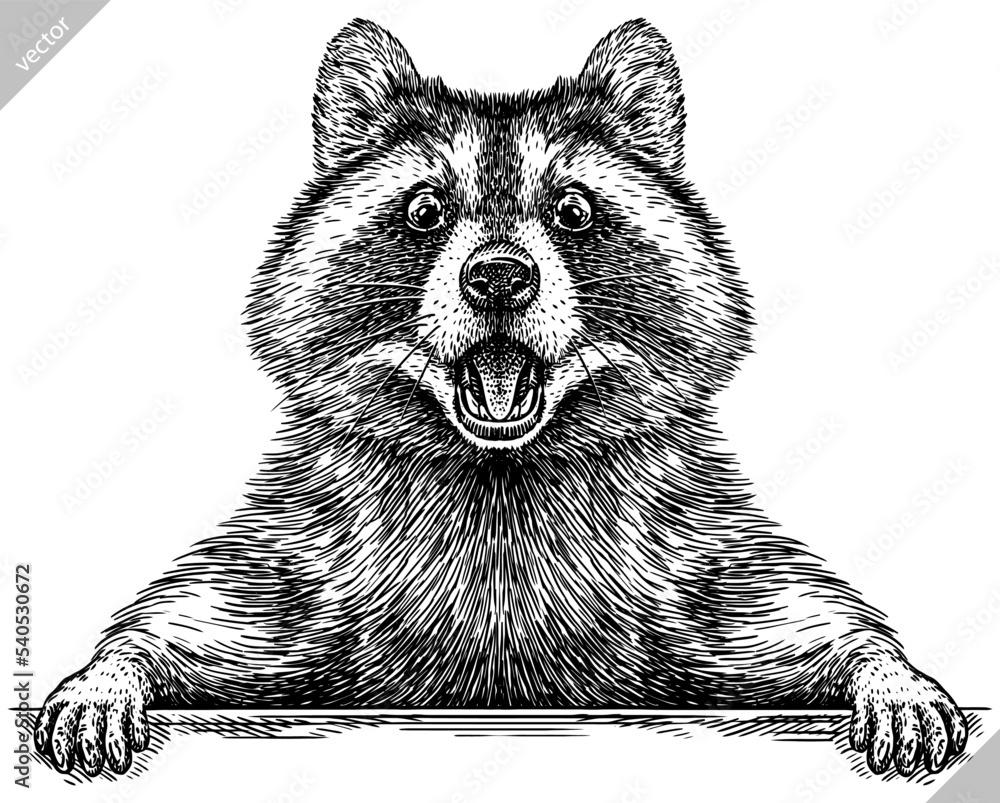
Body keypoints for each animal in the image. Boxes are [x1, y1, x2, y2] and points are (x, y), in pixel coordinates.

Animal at [35, 18, 966, 779]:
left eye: (573, 210)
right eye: (423, 210)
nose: (499, 277)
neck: (500, 465)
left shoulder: (686, 553)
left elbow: (785, 605)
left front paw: (885, 669)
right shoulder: (311, 552)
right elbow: (212, 604)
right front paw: (113, 668)